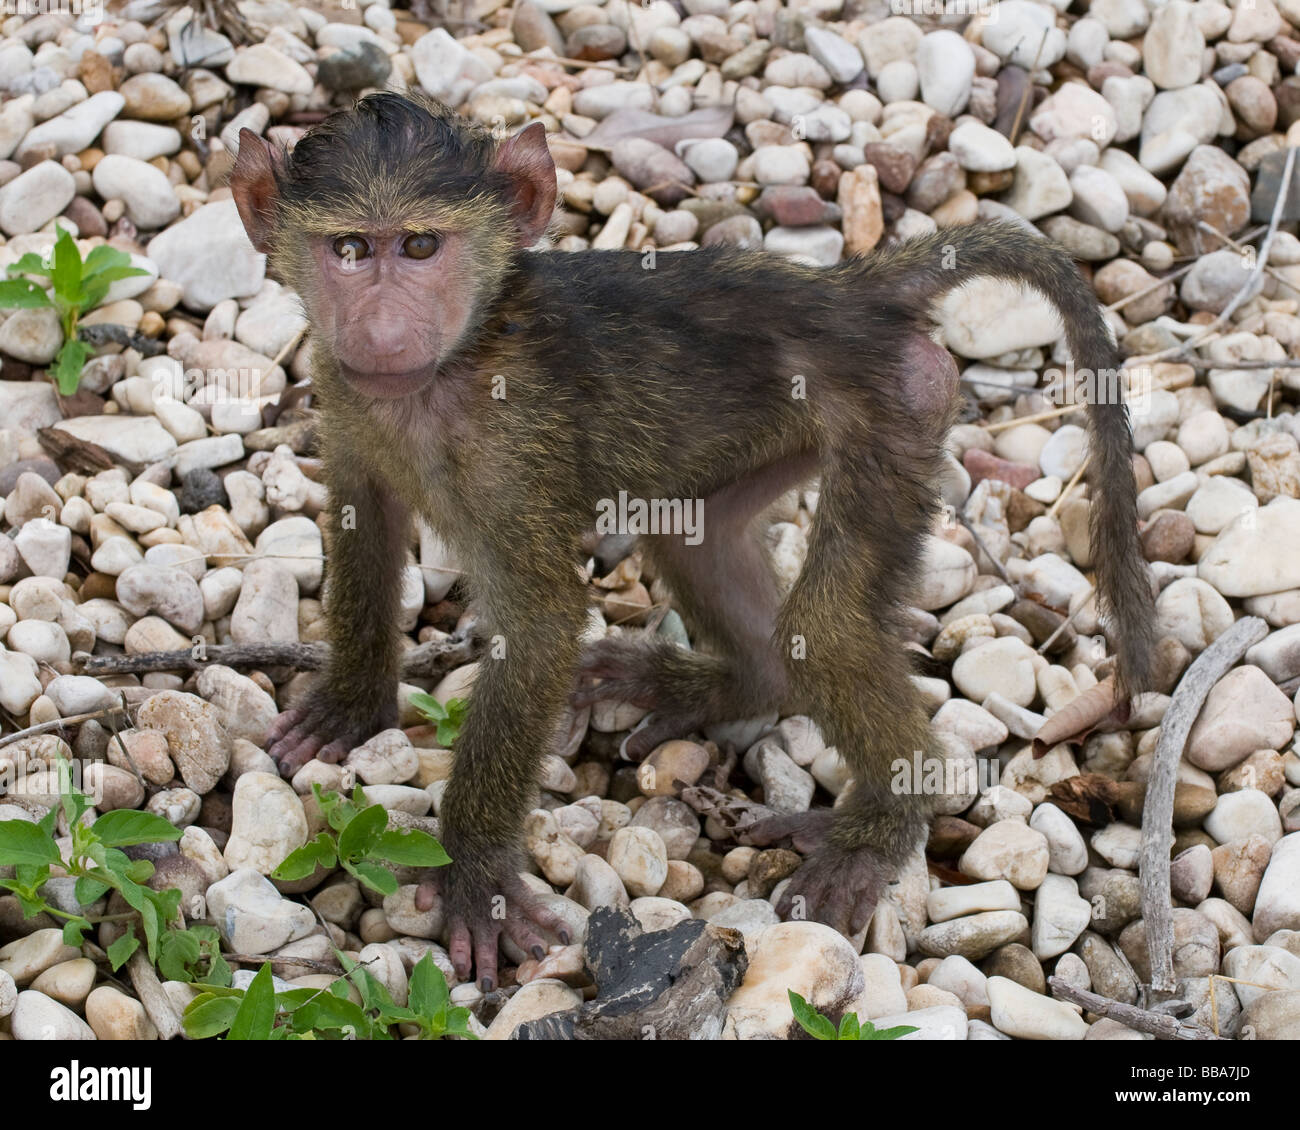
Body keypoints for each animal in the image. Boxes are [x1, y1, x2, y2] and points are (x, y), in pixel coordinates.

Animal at [230, 92, 1154, 990]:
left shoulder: (511, 451)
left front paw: (475, 877)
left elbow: (539, 627)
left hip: (898, 404)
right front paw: (352, 705)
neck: (454, 365)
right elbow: (364, 522)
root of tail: (846, 293)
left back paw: (875, 830)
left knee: (824, 628)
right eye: (352, 249)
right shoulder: (344, 393)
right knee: (697, 539)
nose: (382, 331)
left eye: (420, 245)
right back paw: (719, 684)